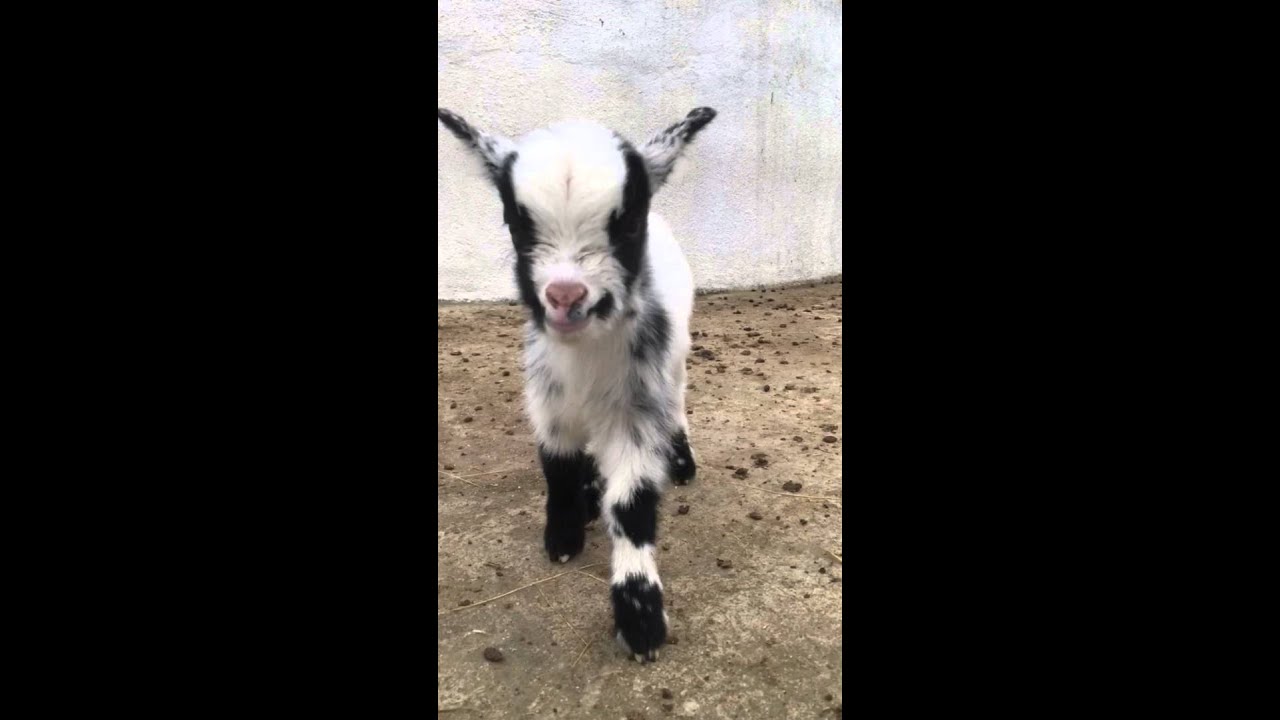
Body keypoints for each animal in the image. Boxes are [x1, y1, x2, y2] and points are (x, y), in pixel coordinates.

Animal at [438, 106, 717, 662]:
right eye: (516, 221)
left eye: (628, 222)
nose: (565, 296)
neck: (586, 357)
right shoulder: (549, 403)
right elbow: (559, 468)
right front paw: (564, 535)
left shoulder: (636, 408)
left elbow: (631, 505)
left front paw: (640, 619)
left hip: (675, 362)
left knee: (678, 403)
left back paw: (681, 462)